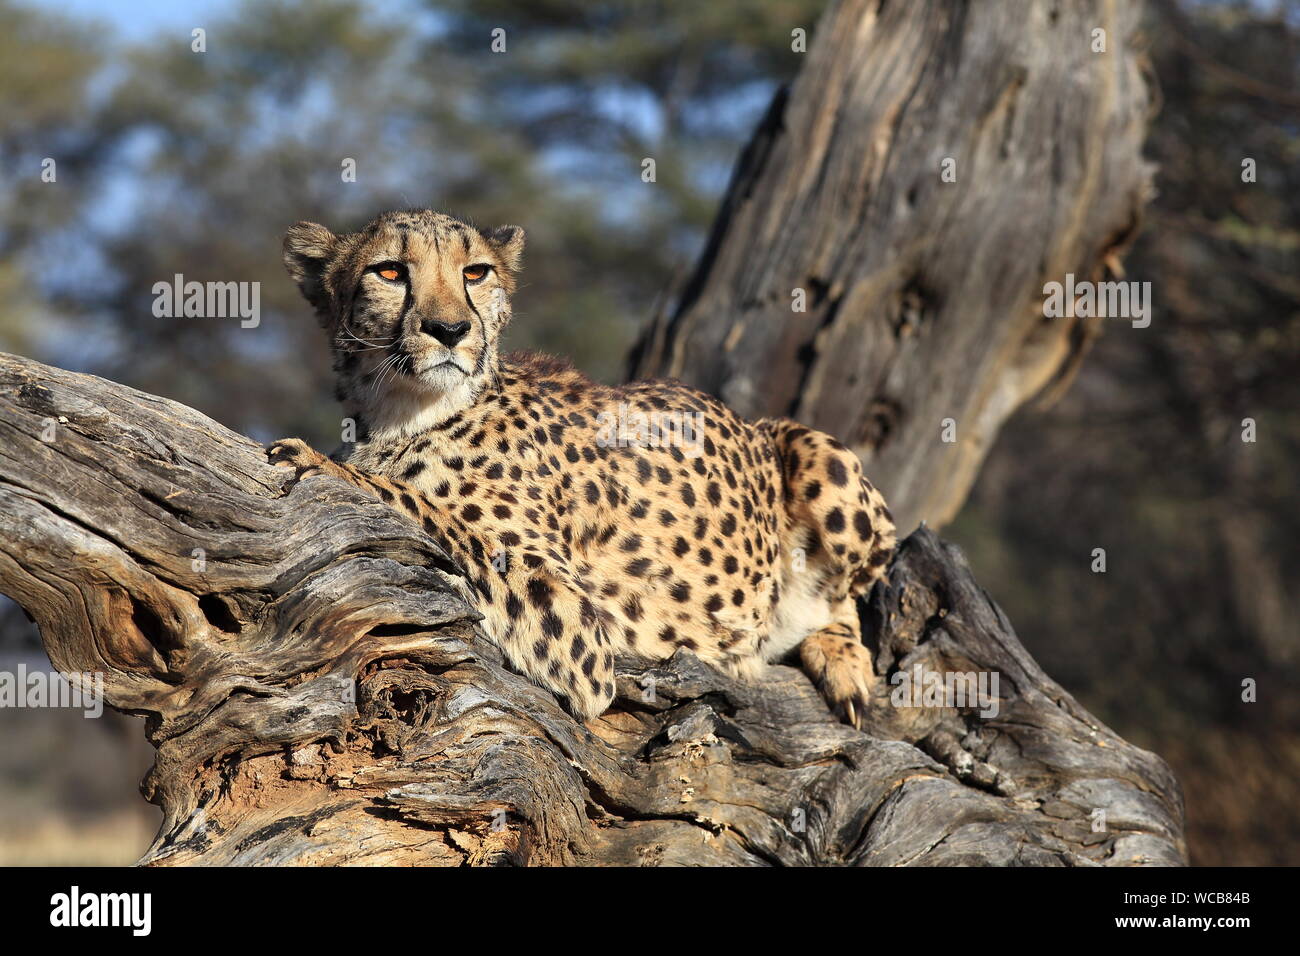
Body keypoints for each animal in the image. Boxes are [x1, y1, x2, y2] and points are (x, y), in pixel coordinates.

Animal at [270, 209, 896, 727]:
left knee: (847, 593)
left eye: (475, 272)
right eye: (390, 271)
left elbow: (416, 503)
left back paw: (841, 658)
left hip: (817, 452)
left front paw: (314, 458)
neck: (400, 411)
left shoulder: (574, 625)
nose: (449, 330)